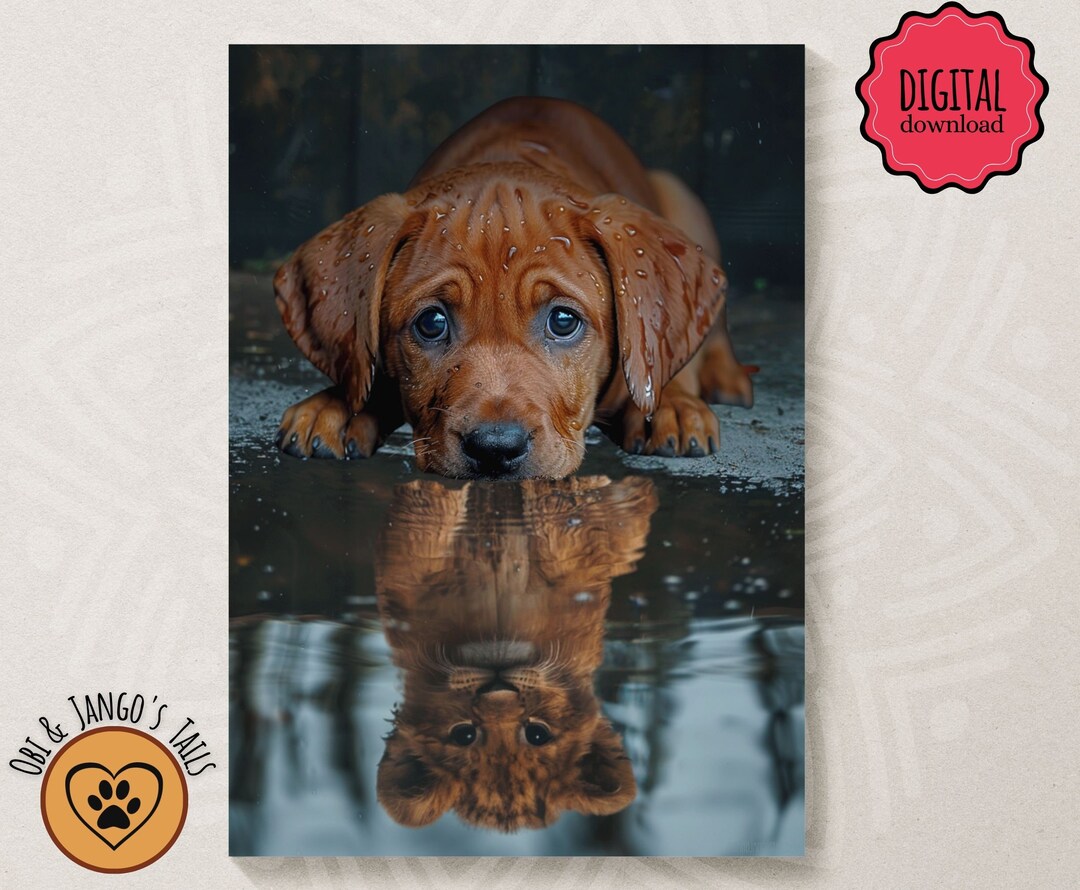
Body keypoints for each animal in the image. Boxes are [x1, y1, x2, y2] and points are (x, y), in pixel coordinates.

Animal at [374, 474, 657, 831]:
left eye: (538, 733)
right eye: (463, 734)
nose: (498, 692)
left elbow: (570, 537)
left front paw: (557, 493)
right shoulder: (402, 574)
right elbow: (421, 533)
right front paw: (434, 492)